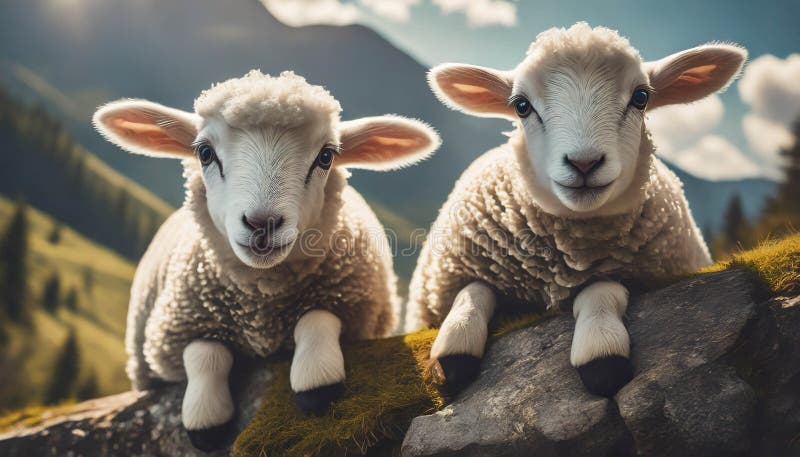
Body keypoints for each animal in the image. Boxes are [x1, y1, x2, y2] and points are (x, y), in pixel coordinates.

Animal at [92, 70, 440, 451]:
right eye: (204, 152)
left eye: (326, 156)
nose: (262, 223)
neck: (263, 307)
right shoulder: (178, 324)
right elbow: (205, 354)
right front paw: (205, 420)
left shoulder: (351, 302)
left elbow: (315, 319)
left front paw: (316, 383)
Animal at [408, 23, 746, 397]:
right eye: (521, 106)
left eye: (641, 97)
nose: (585, 163)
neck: (564, 259)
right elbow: (472, 291)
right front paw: (453, 348)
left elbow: (600, 290)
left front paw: (601, 356)